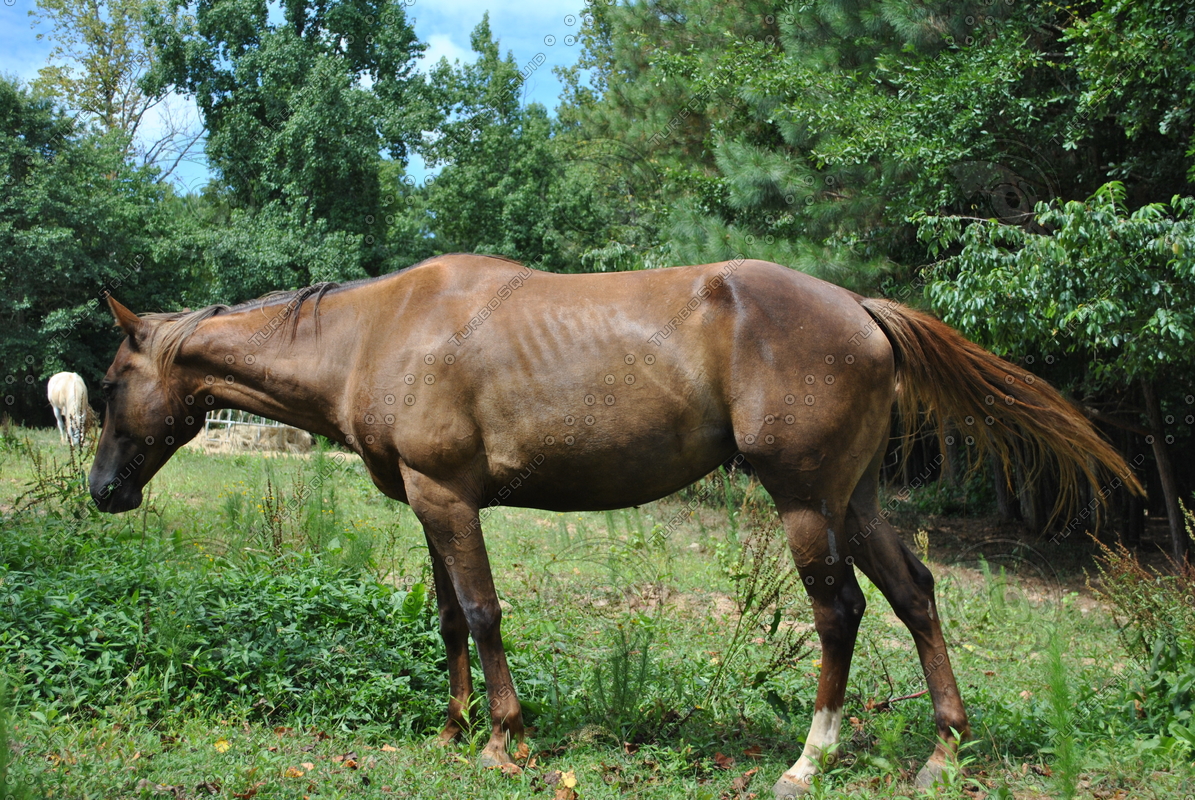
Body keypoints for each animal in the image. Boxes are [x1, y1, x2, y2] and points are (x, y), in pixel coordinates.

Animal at [88, 255, 1141, 797]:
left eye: (108, 381)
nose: (102, 492)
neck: (379, 334)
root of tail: (859, 307)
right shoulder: (428, 502)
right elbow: (446, 618)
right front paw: (451, 726)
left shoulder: (450, 500)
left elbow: (482, 613)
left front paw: (504, 737)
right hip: (856, 500)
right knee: (915, 594)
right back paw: (943, 750)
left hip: (806, 504)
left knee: (838, 612)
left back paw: (811, 759)